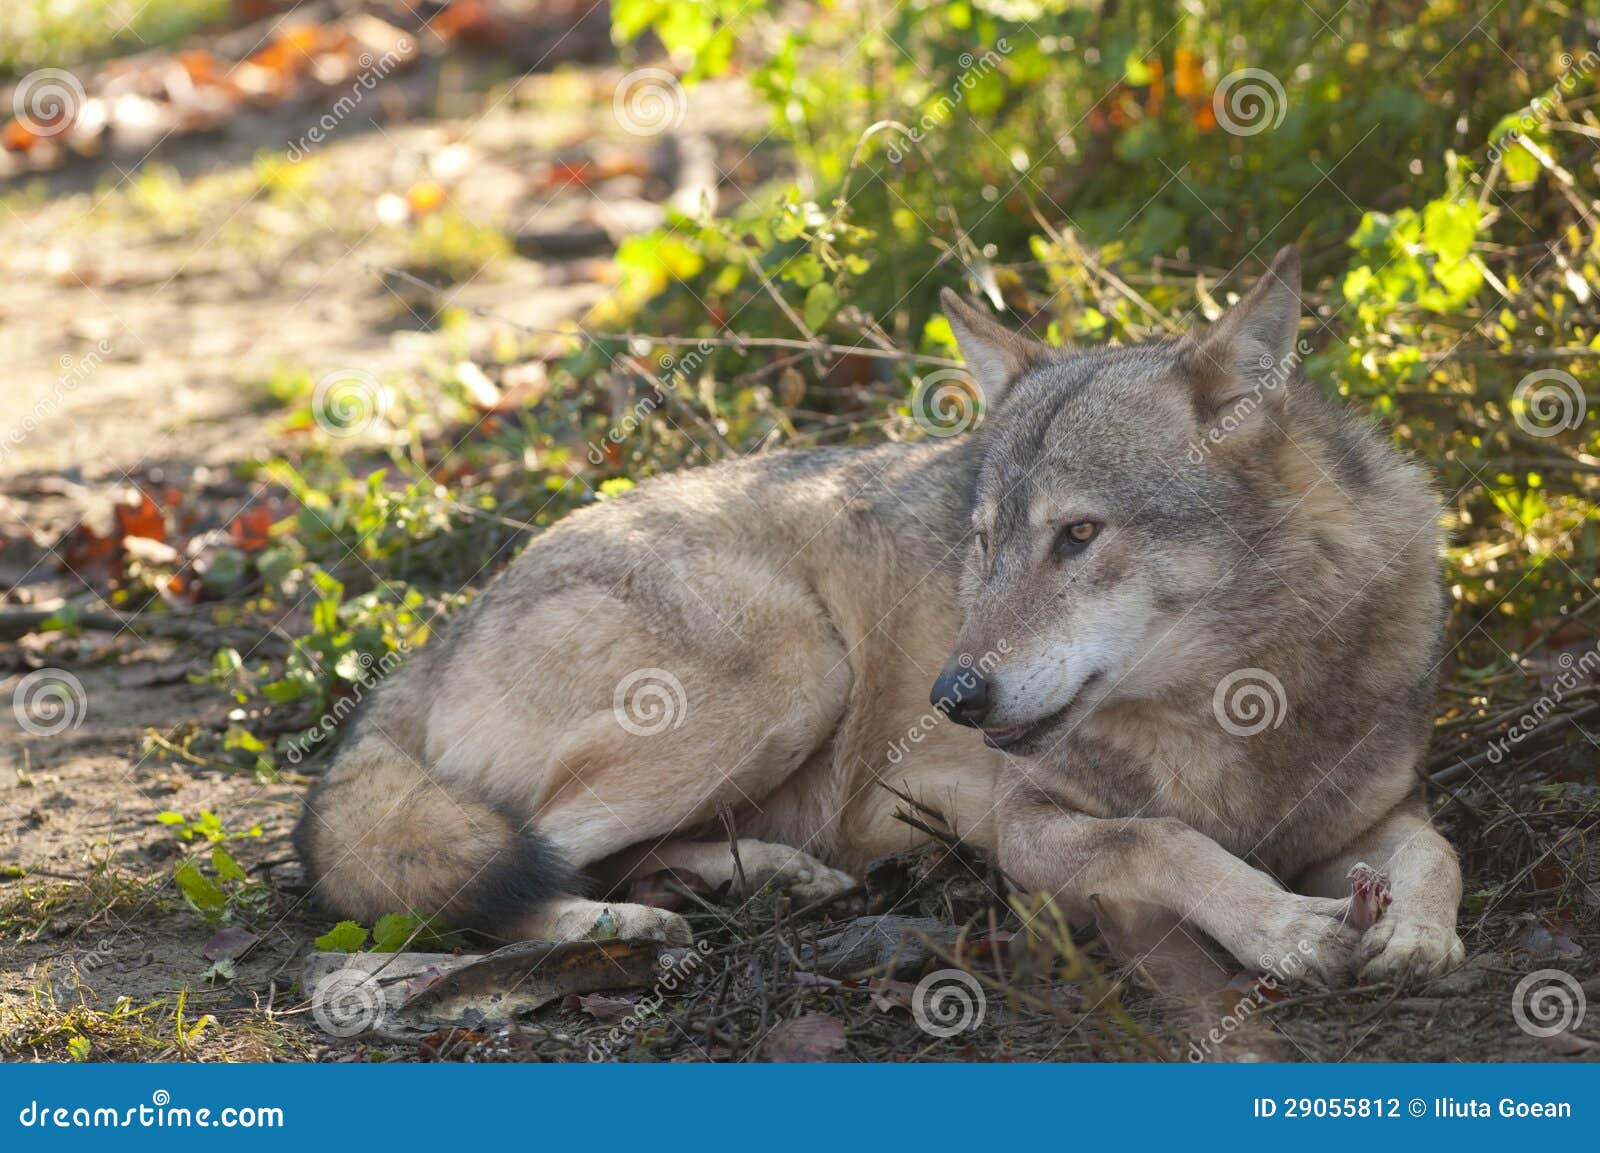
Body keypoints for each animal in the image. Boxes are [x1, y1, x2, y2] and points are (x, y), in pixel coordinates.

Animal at [295, 246, 1464, 989]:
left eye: (1078, 534)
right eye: (983, 541)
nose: (952, 696)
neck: (1237, 703)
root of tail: (439, 632)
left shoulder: (1367, 816)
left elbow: (1437, 853)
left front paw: (1415, 937)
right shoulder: (1029, 827)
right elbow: (1161, 838)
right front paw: (1285, 928)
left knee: (599, 851)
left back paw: (776, 876)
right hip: (790, 670)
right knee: (499, 868)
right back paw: (624, 927)